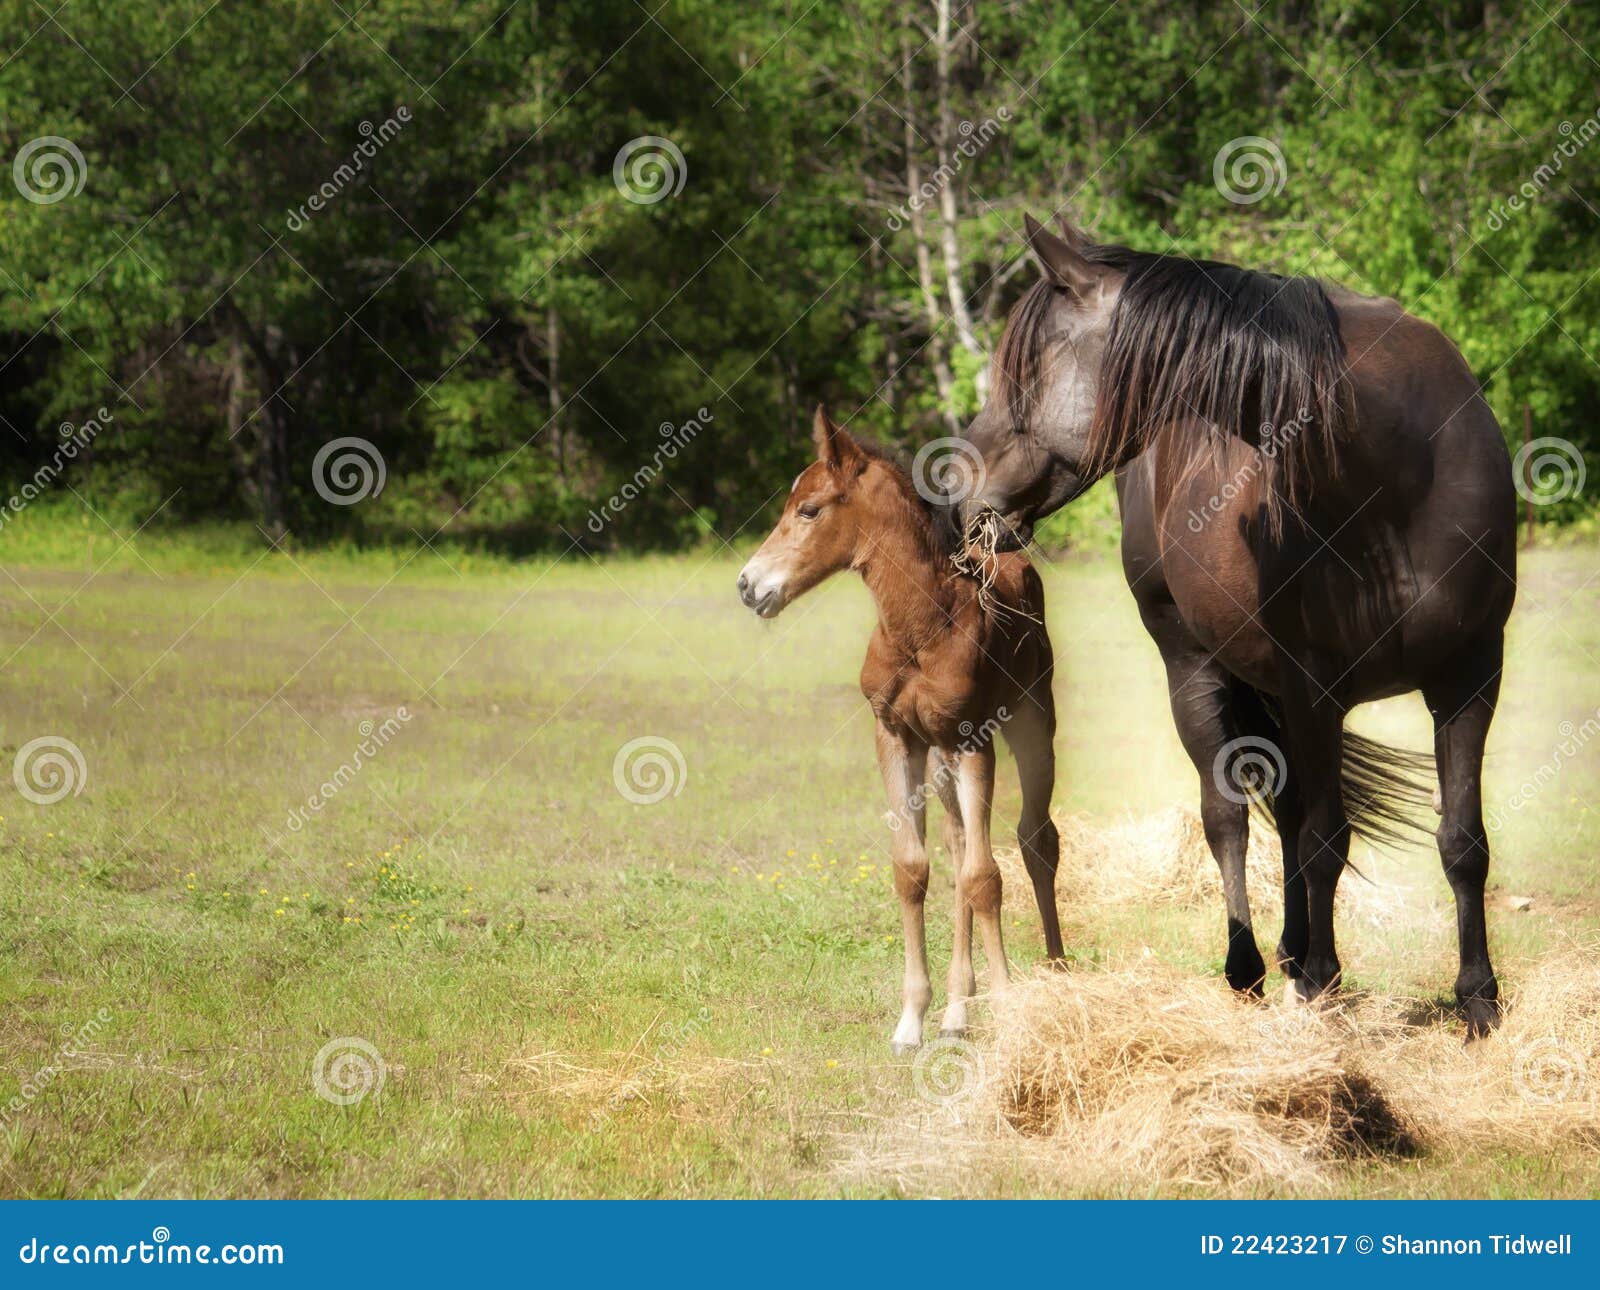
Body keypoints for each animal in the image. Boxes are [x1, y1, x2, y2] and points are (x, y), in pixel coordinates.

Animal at [737, 406, 1062, 1052]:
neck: (920, 628)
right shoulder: (894, 737)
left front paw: (1009, 1008)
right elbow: (913, 868)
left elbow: (985, 877)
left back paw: (1059, 972)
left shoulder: (972, 738)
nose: (748, 585)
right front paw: (912, 1018)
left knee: (1037, 839)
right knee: (959, 843)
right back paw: (958, 1012)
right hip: (939, 761)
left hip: (1032, 725)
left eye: (808, 510)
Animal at [956, 215, 1516, 1037]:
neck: (1395, 476)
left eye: (1024, 372)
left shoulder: (1469, 677)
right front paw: (1320, 984)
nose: (959, 491)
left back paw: (1290, 952)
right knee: (1230, 818)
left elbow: (1462, 840)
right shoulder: (1317, 688)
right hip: (1195, 668)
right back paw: (1251, 965)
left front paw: (1477, 996)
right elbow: (1323, 838)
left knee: (1282, 813)